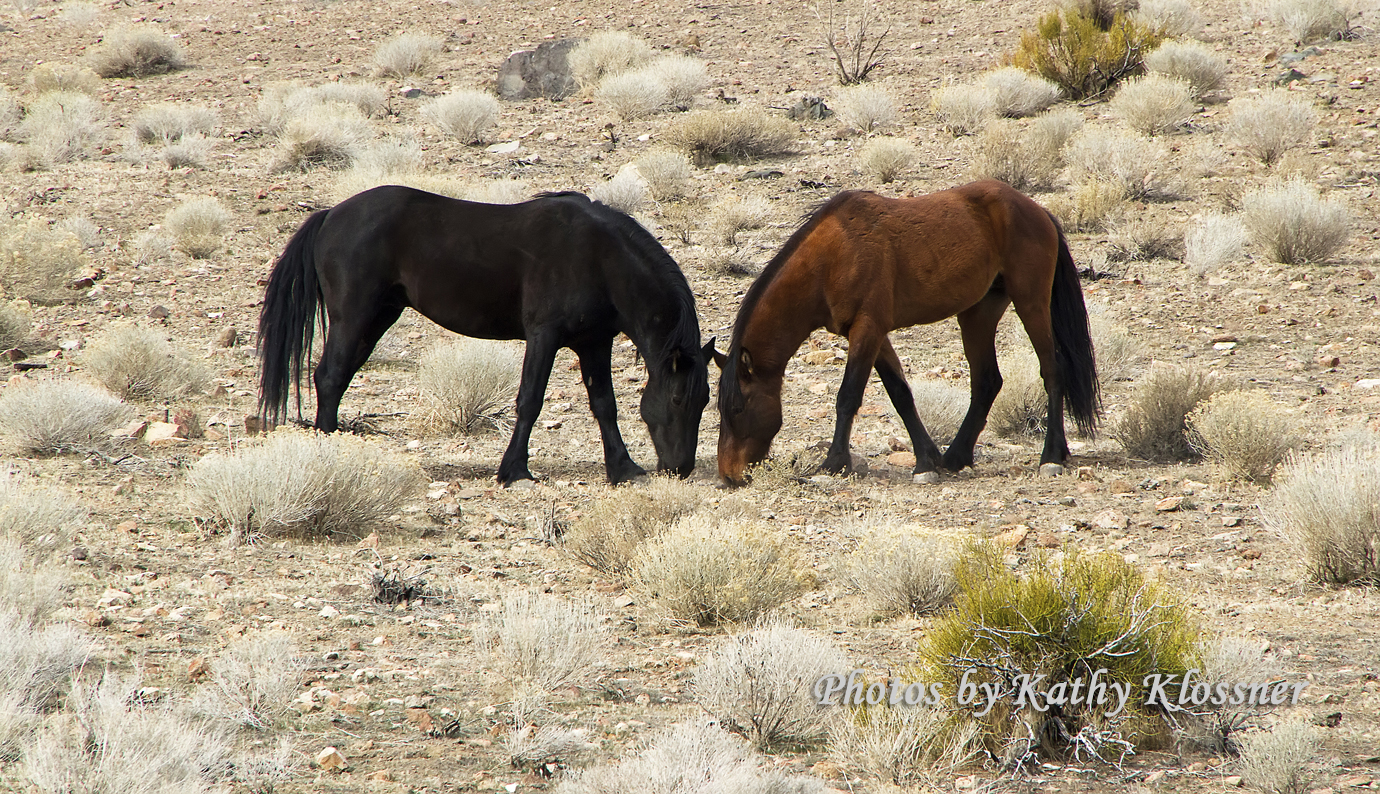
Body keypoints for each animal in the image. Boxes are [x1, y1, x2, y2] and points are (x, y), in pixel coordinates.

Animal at [257, 185, 712, 486]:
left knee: (337, 377)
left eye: (705, 400)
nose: (681, 468)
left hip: (378, 317)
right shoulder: (544, 336)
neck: (599, 257)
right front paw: (515, 471)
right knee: (330, 377)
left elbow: (605, 406)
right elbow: (530, 402)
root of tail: (331, 215)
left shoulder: (594, 343)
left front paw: (623, 469)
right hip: (353, 317)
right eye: (677, 398)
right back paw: (327, 453)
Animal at [712, 179, 1100, 486]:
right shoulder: (873, 334)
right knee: (987, 381)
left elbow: (848, 396)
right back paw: (957, 456)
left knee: (1052, 370)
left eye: (737, 407)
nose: (729, 475)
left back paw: (1051, 456)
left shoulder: (868, 329)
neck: (832, 259)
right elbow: (900, 394)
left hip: (1031, 302)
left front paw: (834, 463)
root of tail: (1039, 211)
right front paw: (926, 460)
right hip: (978, 313)